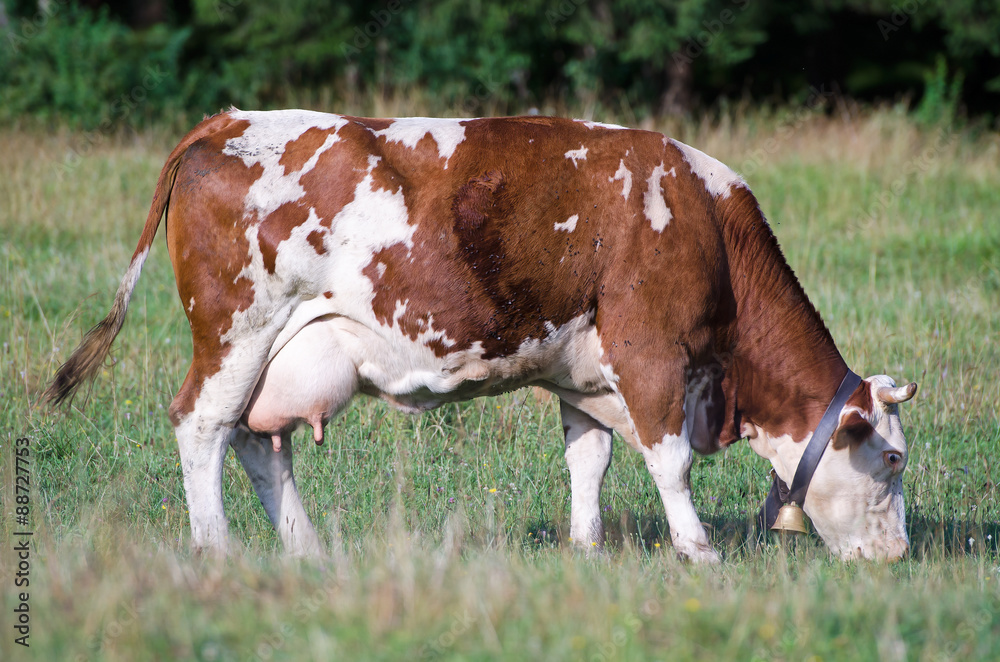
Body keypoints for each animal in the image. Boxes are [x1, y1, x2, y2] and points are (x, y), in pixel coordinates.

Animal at [45, 109, 918, 562]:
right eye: (894, 459)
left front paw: (585, 548)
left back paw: (307, 550)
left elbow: (589, 460)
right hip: (236, 331)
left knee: (260, 442)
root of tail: (228, 119)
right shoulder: (651, 351)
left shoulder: (585, 373)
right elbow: (668, 462)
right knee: (203, 426)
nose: (900, 554)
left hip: (279, 355)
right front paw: (698, 551)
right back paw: (217, 550)